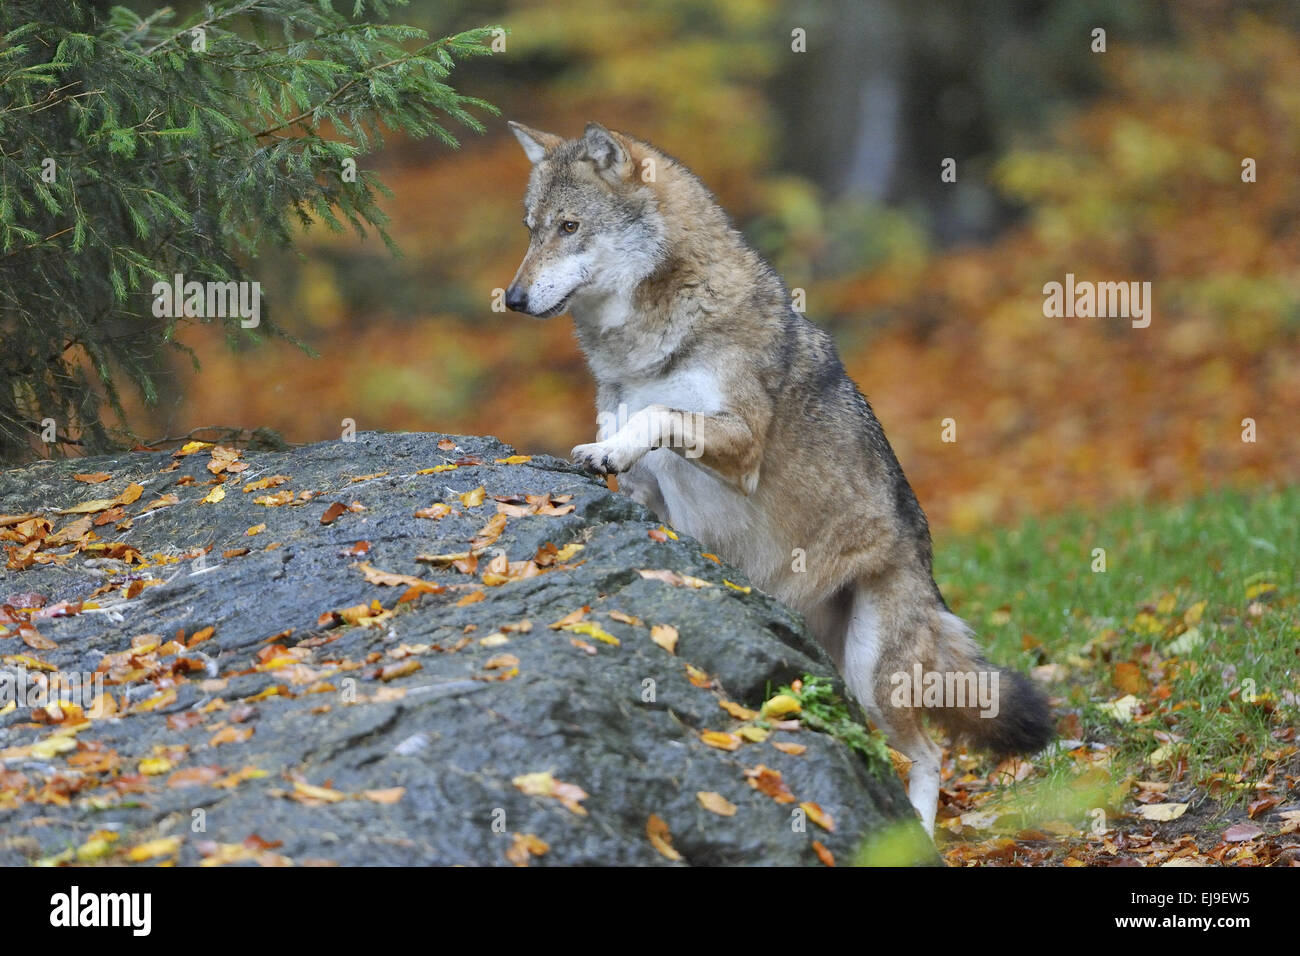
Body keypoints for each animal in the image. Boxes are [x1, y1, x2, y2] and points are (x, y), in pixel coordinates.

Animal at [505, 121, 1053, 835]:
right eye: (530, 229)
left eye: (569, 226)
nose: (512, 299)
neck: (643, 348)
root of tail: (935, 590)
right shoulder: (653, 489)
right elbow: (635, 447)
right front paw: (605, 458)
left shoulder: (740, 445)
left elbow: (657, 413)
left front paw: (606, 451)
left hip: (872, 674)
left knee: (930, 756)